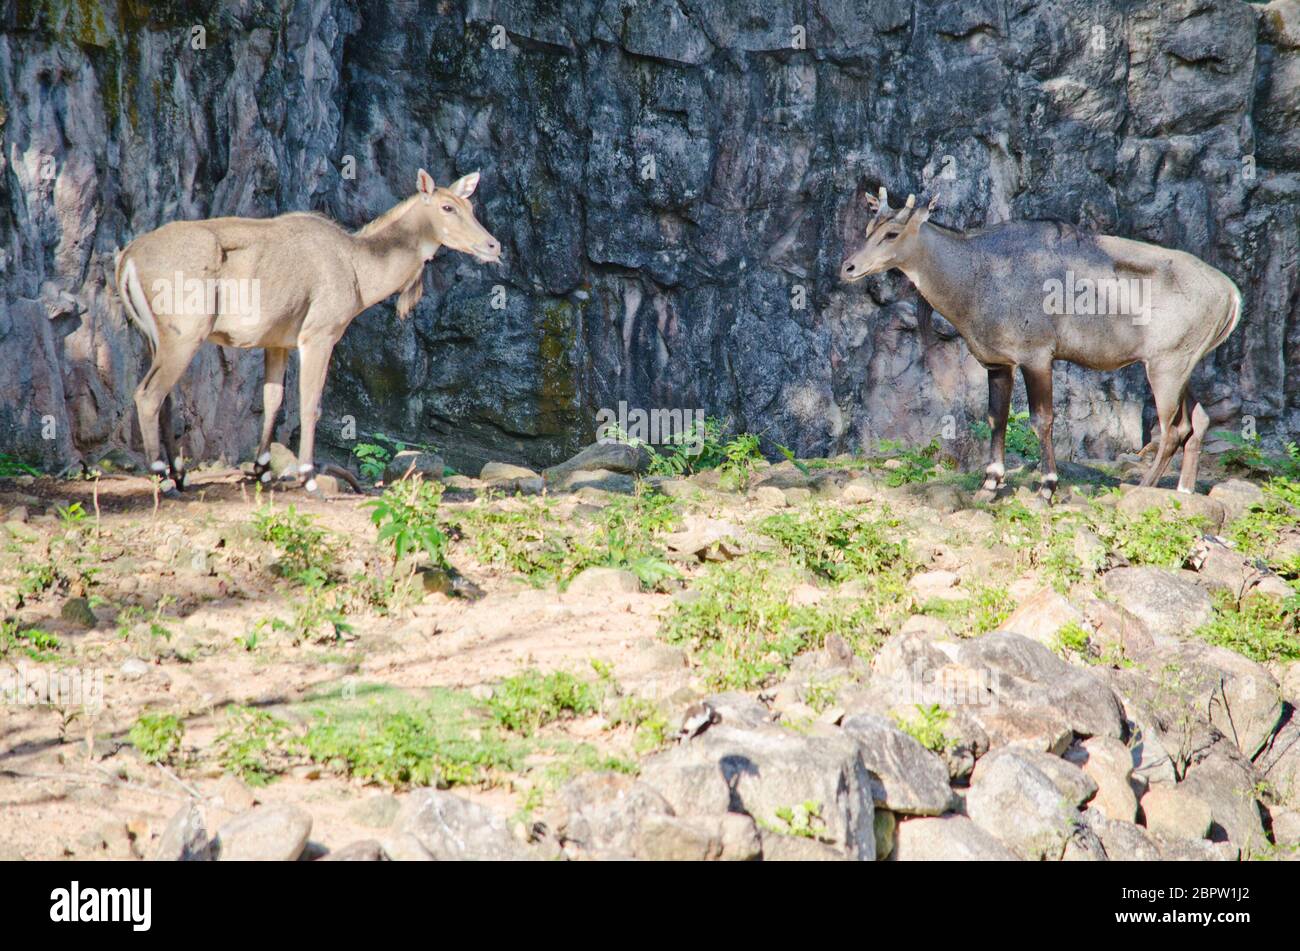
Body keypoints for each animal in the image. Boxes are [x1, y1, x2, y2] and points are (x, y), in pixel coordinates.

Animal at [114, 169, 500, 494]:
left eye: (470, 205)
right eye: (447, 206)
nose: (493, 245)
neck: (359, 269)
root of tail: (128, 258)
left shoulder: (277, 341)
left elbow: (273, 399)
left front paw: (262, 469)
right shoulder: (319, 334)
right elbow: (310, 404)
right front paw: (307, 476)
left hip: (156, 338)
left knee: (163, 398)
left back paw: (179, 475)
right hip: (186, 332)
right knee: (148, 394)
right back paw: (161, 478)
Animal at [839, 186, 1241, 503]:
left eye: (892, 233)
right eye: (869, 229)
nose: (848, 267)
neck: (976, 273)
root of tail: (1231, 293)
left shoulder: (1036, 356)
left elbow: (1042, 419)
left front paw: (1047, 487)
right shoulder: (998, 362)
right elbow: (996, 417)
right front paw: (990, 484)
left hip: (1165, 367)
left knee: (1172, 429)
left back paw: (1141, 488)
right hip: (1182, 365)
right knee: (1198, 420)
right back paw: (1184, 491)